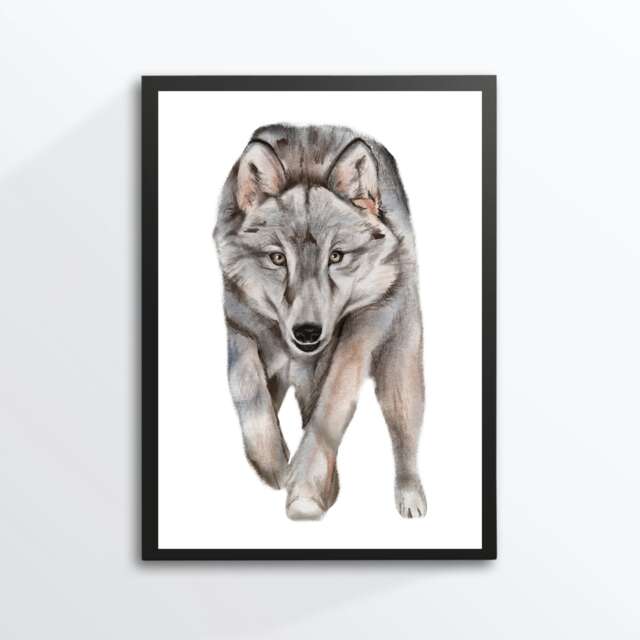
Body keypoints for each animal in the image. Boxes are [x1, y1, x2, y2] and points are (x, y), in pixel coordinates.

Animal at [214, 124, 426, 520]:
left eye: (337, 256)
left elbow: (329, 410)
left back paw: (410, 496)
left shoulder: (354, 341)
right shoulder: (240, 327)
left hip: (400, 375)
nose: (307, 331)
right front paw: (274, 466)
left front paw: (307, 493)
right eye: (278, 258)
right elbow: (249, 395)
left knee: (404, 434)